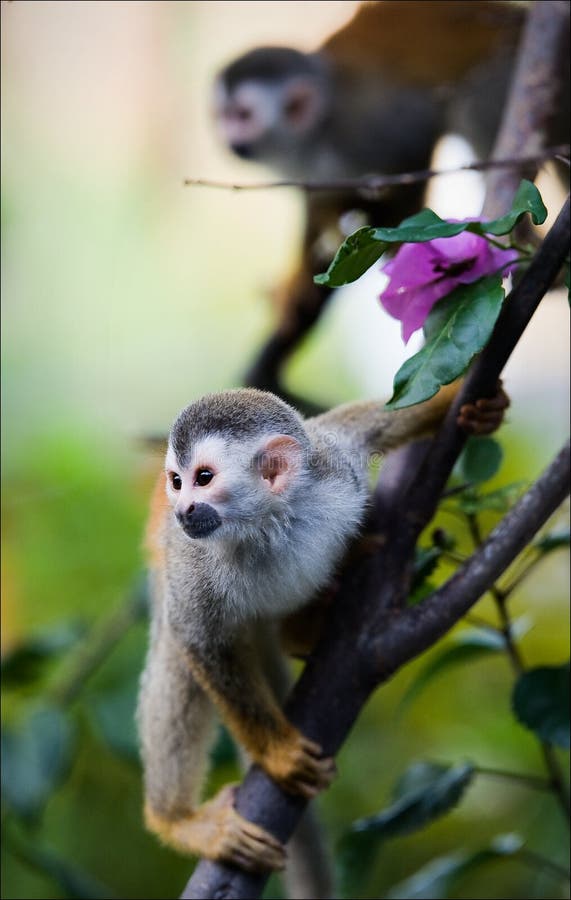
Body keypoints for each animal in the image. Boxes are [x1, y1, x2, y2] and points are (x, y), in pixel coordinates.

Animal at [137, 381, 509, 874]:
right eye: (176, 481)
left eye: (202, 478)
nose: (180, 509)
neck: (268, 521)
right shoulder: (192, 562)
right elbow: (198, 641)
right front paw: (278, 753)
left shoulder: (335, 466)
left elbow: (373, 421)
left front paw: (464, 402)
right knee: (177, 659)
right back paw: (175, 820)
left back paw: (308, 622)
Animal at [213, 1, 570, 394]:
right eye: (223, 116)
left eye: (243, 115)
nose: (231, 141)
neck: (316, 133)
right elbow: (319, 201)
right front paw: (297, 278)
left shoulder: (368, 126)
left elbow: (414, 140)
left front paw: (398, 235)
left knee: (474, 104)